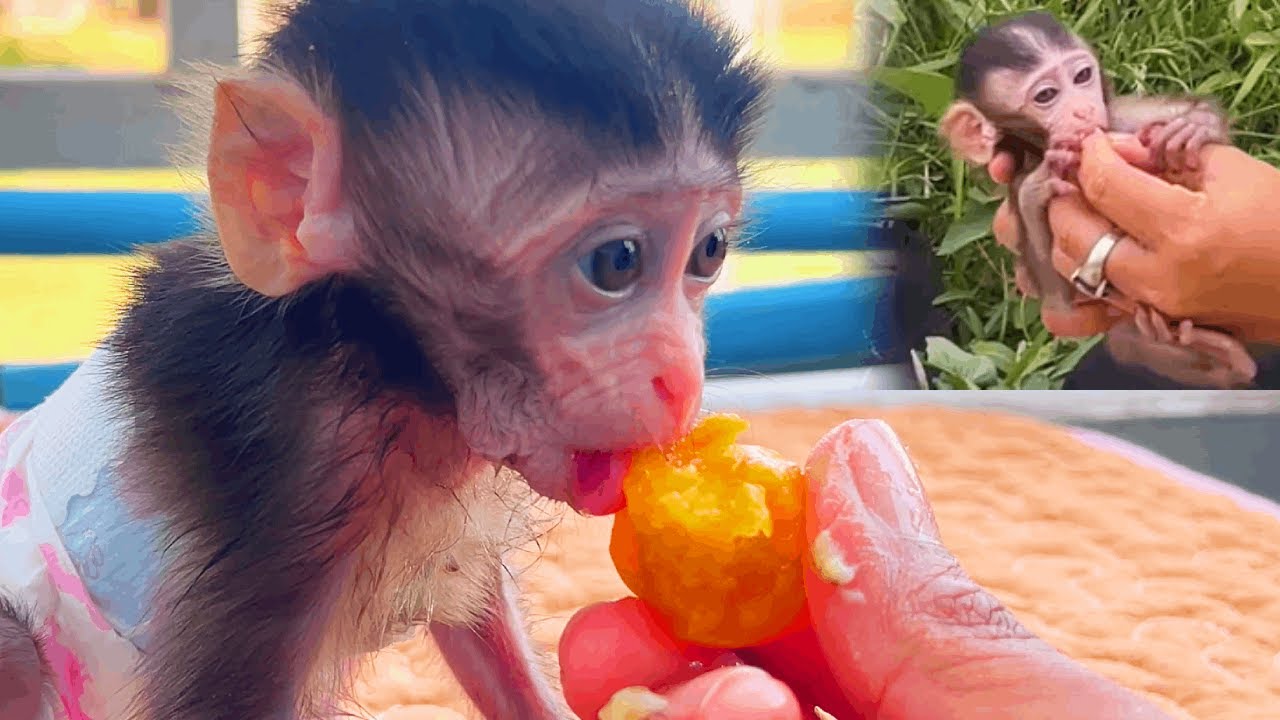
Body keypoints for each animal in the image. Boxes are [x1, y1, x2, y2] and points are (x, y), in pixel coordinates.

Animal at [0, 1, 770, 718]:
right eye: (616, 262)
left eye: (709, 252)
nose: (680, 379)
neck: (390, 370)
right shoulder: (301, 471)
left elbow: (478, 612)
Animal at [937, 10, 1257, 388]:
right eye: (1046, 95)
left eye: (1082, 77)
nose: (1083, 110)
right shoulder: (1018, 173)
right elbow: (1062, 308)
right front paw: (1036, 192)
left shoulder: (1122, 119)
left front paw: (1196, 125)